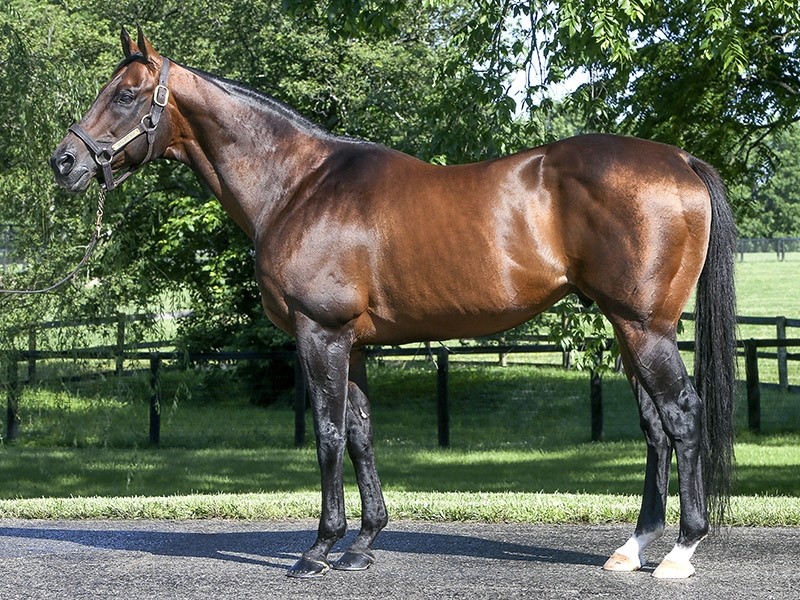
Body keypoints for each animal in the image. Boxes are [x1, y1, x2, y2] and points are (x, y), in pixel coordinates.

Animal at [51, 29, 737, 580]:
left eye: (126, 94)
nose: (65, 161)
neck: (297, 185)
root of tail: (679, 160)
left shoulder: (319, 333)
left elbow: (328, 434)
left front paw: (318, 550)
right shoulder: (349, 342)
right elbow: (360, 432)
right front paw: (363, 542)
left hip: (646, 327)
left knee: (681, 416)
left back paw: (680, 551)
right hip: (626, 326)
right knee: (654, 426)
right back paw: (632, 547)